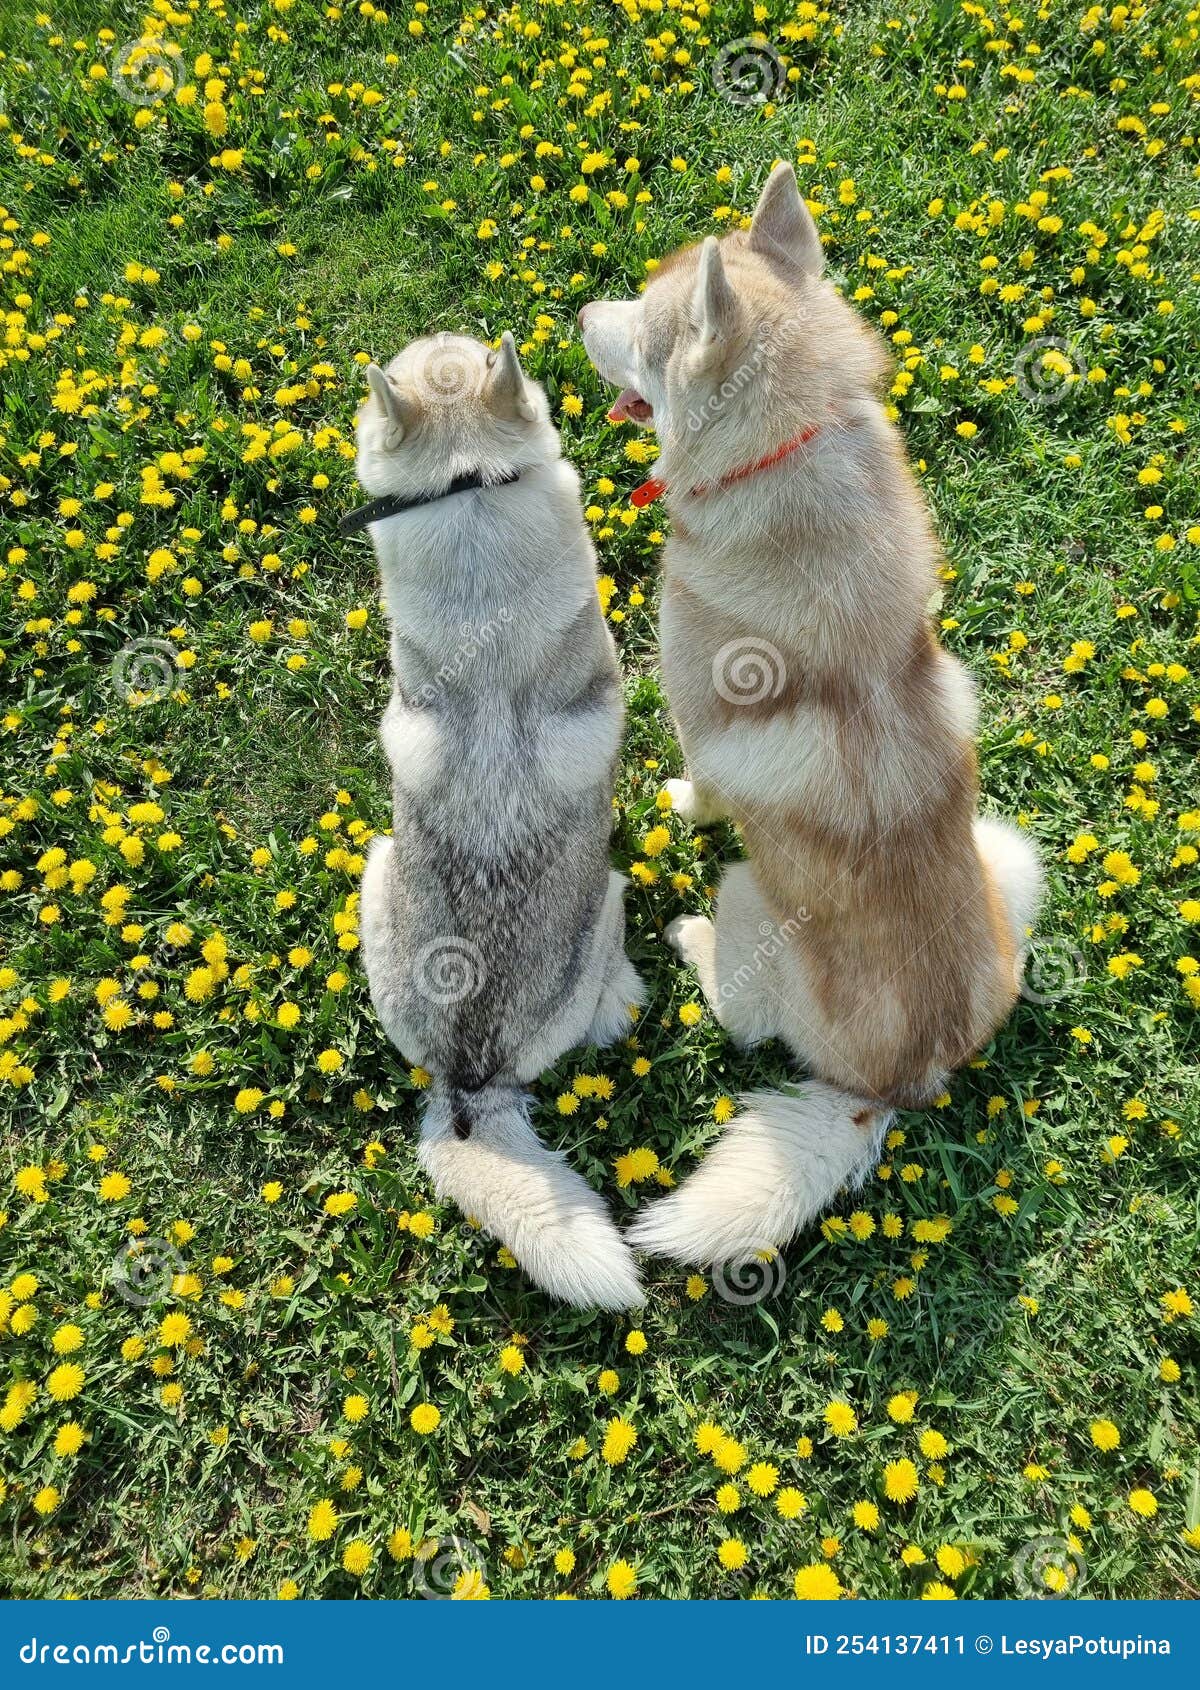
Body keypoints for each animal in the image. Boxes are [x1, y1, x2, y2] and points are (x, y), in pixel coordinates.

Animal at [580, 165, 1042, 1268]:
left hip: (752, 897)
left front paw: (678, 802)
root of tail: (901, 1088)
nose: (575, 315)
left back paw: (692, 936)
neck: (784, 454)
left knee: (738, 1010)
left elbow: (703, 784)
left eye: (643, 329)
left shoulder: (700, 727)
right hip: (1011, 854)